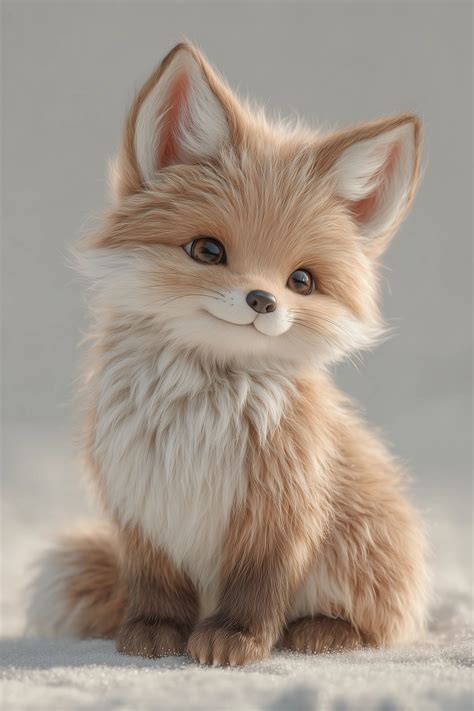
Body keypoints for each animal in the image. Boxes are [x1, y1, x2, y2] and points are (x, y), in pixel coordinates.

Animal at [27, 42, 429, 666]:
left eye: (301, 281)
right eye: (207, 250)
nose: (262, 300)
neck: (197, 416)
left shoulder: (281, 512)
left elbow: (256, 591)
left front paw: (235, 641)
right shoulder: (142, 508)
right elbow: (156, 590)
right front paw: (151, 637)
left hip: (361, 553)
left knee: (373, 623)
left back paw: (322, 632)